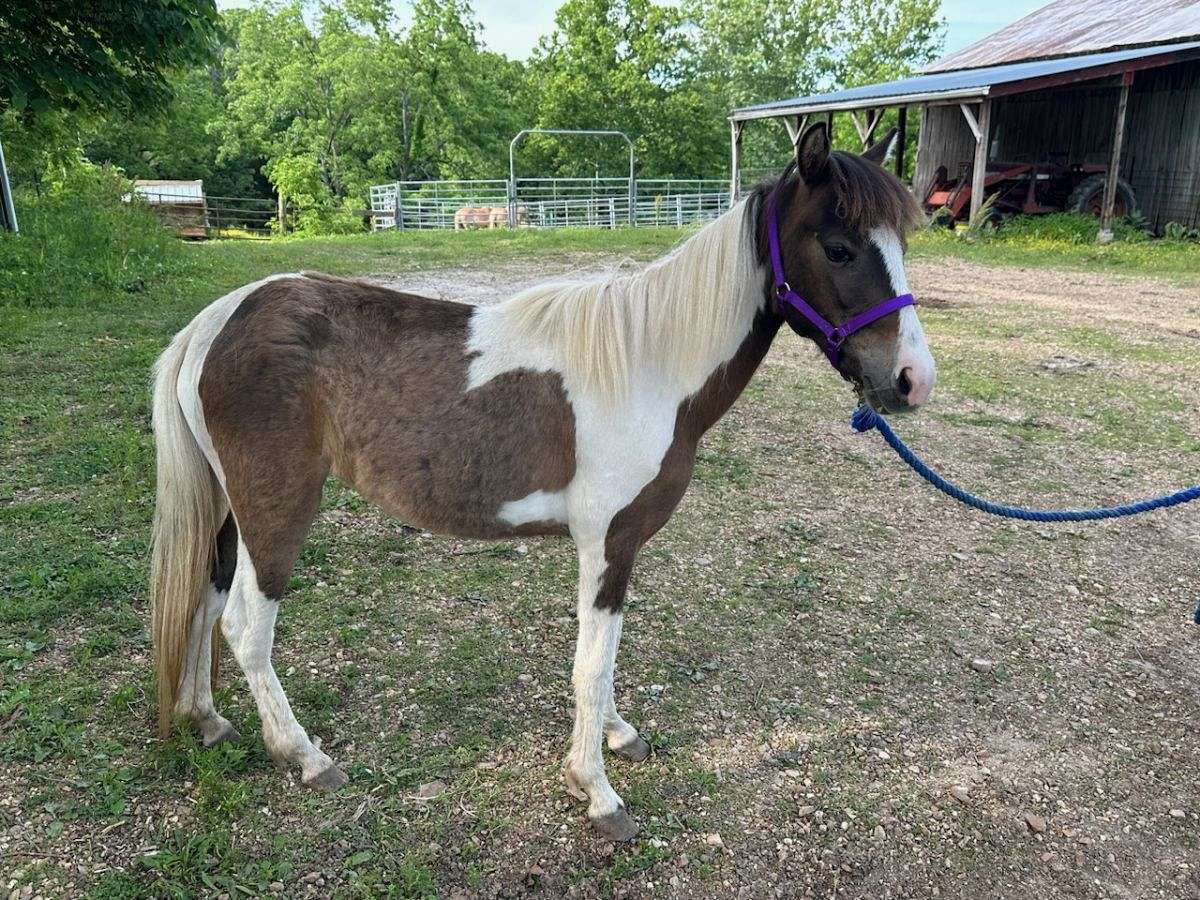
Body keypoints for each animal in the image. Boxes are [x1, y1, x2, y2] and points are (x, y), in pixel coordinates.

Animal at [148, 123, 935, 841]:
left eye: (901, 244)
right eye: (838, 247)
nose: (911, 381)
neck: (650, 366)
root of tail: (217, 322)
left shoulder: (612, 549)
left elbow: (602, 659)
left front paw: (617, 735)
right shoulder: (609, 543)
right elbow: (593, 664)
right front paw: (597, 792)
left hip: (230, 510)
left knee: (204, 597)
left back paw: (206, 717)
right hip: (276, 512)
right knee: (244, 626)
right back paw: (305, 756)